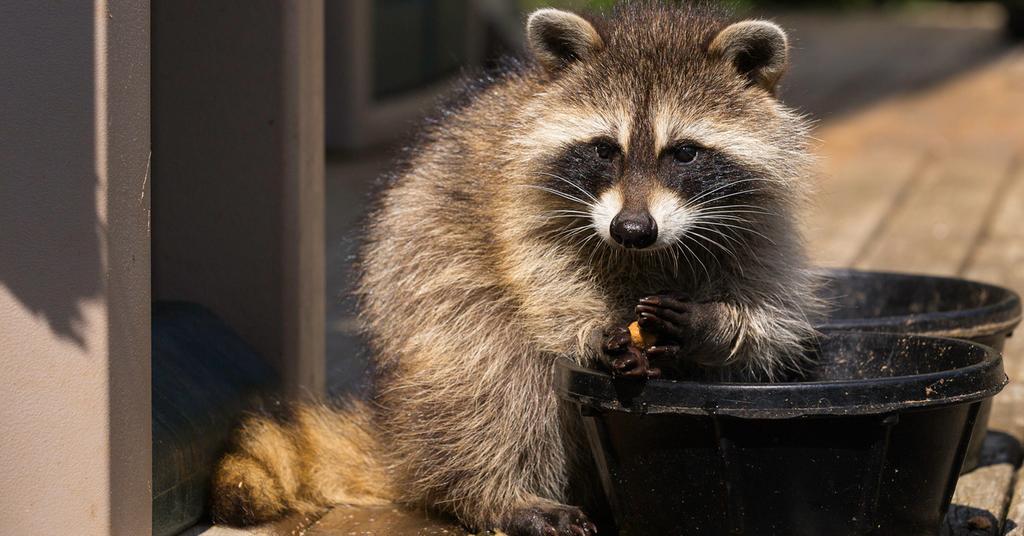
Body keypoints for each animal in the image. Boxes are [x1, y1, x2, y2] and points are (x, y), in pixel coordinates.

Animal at [211, 3, 823, 535]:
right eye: (605, 149)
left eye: (685, 152)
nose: (631, 229)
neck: (645, 255)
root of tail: (396, 434)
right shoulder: (519, 202)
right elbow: (538, 279)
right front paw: (590, 328)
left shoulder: (759, 224)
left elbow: (770, 325)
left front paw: (713, 326)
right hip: (426, 293)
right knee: (493, 371)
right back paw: (499, 494)